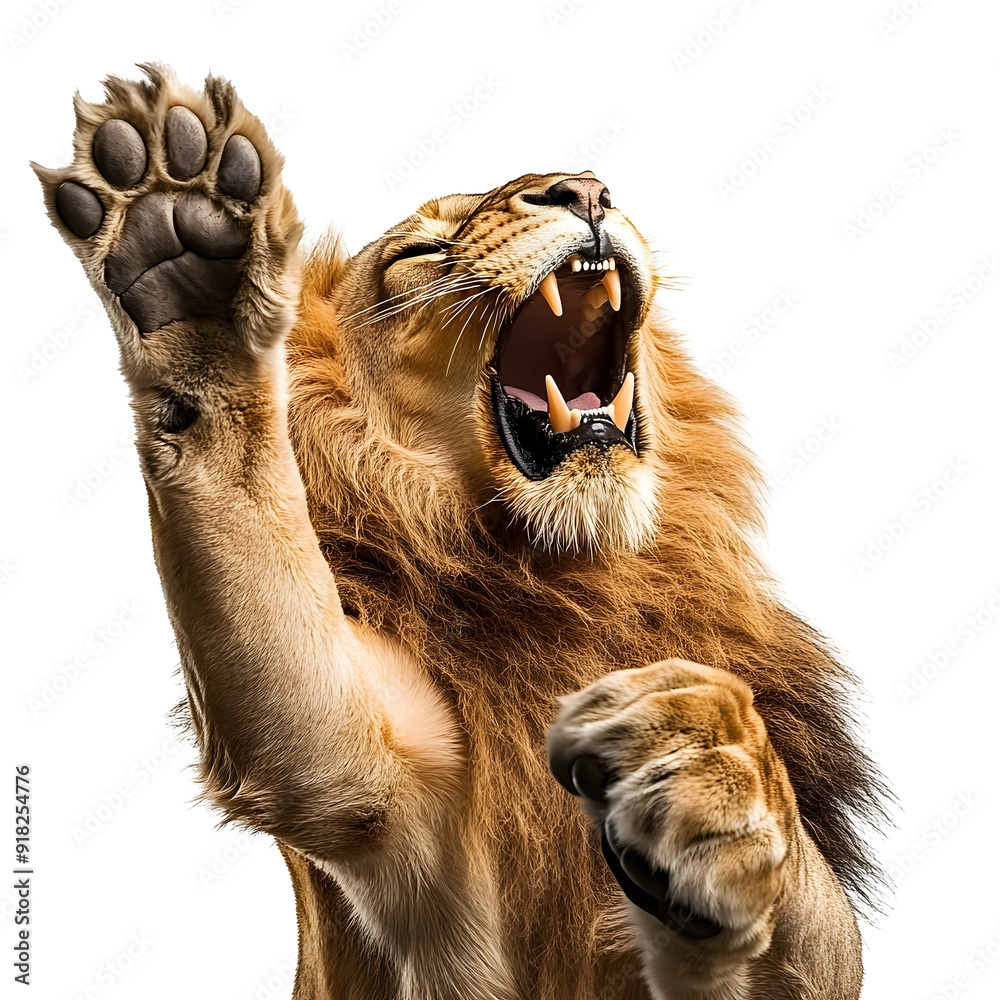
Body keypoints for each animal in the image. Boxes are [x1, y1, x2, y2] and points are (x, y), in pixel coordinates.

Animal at [35, 65, 889, 1000]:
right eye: (417, 255)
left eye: (595, 190)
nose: (584, 190)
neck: (568, 562)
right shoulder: (372, 764)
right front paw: (182, 269)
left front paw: (710, 770)